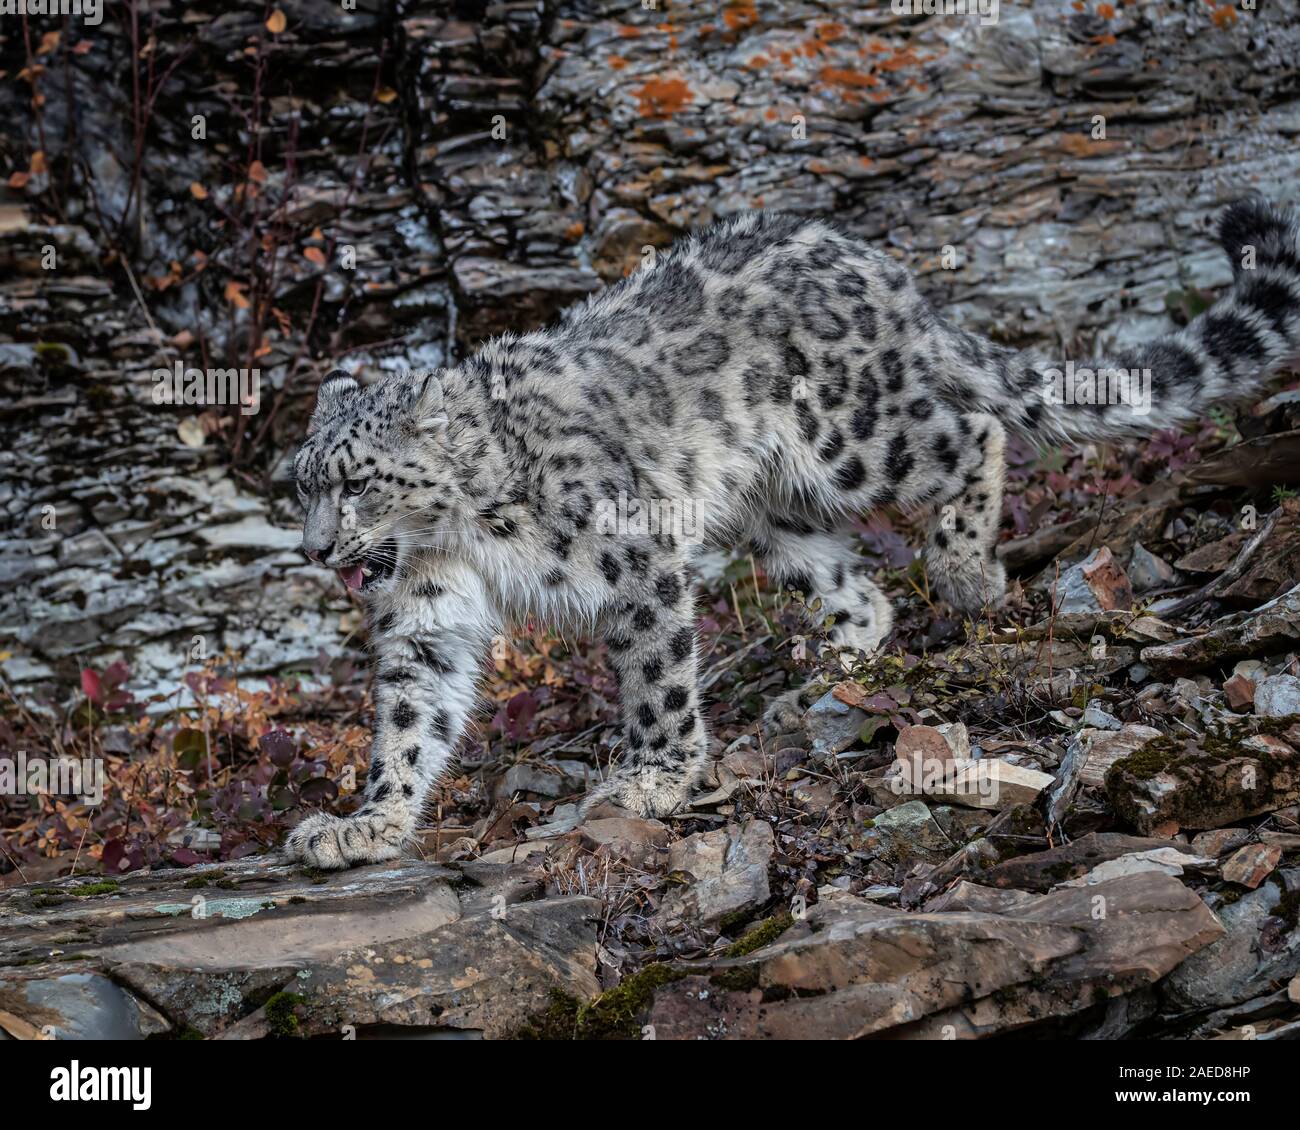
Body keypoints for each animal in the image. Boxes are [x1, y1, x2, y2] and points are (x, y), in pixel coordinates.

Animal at [285, 197, 1300, 868]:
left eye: (357, 484)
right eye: (302, 487)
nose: (316, 551)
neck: (456, 538)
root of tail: (881, 265)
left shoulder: (634, 559)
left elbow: (657, 676)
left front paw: (653, 776)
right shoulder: (427, 612)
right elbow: (410, 718)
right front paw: (365, 823)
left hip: (856, 436)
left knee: (974, 431)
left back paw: (966, 572)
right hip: (766, 504)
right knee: (856, 583)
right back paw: (829, 671)